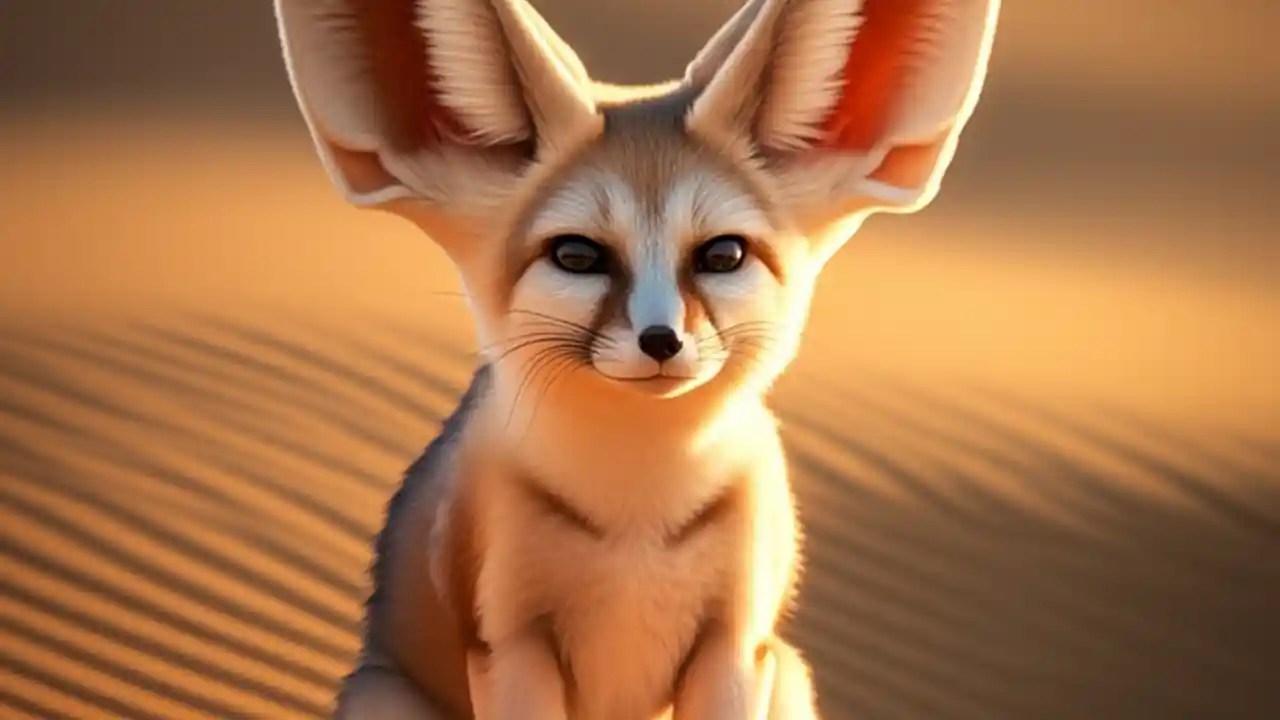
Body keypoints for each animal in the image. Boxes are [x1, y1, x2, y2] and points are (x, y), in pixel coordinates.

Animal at [273, 0, 999, 717]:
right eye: (577, 256)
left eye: (723, 255)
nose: (661, 340)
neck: (638, 517)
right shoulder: (509, 642)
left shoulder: (737, 644)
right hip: (382, 695)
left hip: (790, 677)